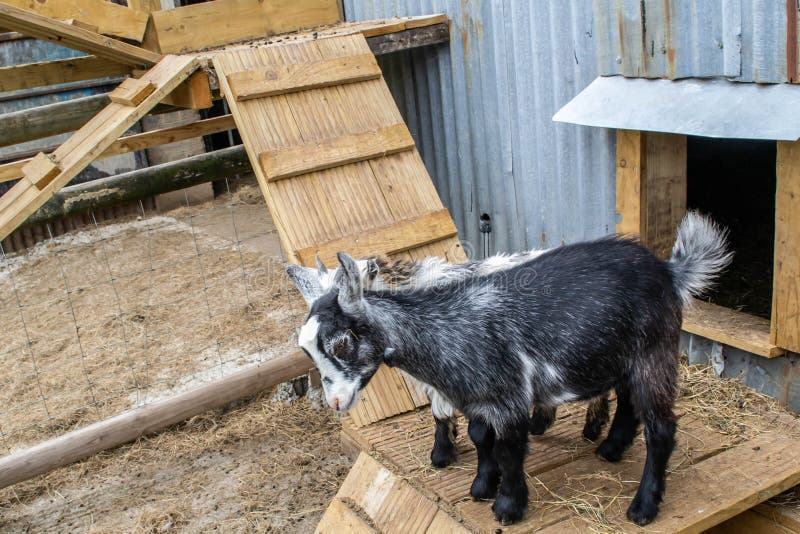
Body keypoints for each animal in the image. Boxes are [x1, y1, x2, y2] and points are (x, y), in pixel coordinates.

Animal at [288, 251, 612, 469]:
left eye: (342, 341)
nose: (336, 402)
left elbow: (444, 408)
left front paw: (443, 453)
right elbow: (440, 409)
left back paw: (593, 427)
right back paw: (543, 423)